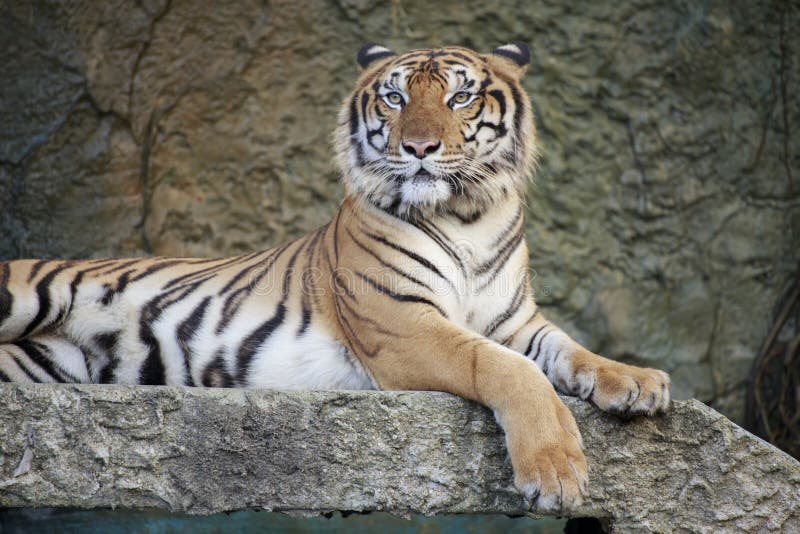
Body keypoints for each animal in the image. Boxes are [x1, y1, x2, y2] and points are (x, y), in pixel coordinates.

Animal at [0, 43, 670, 513]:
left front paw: (637, 382)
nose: (419, 148)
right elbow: (509, 369)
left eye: (459, 99)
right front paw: (556, 473)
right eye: (395, 100)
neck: (468, 215)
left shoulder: (516, 322)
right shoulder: (403, 324)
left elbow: (569, 350)